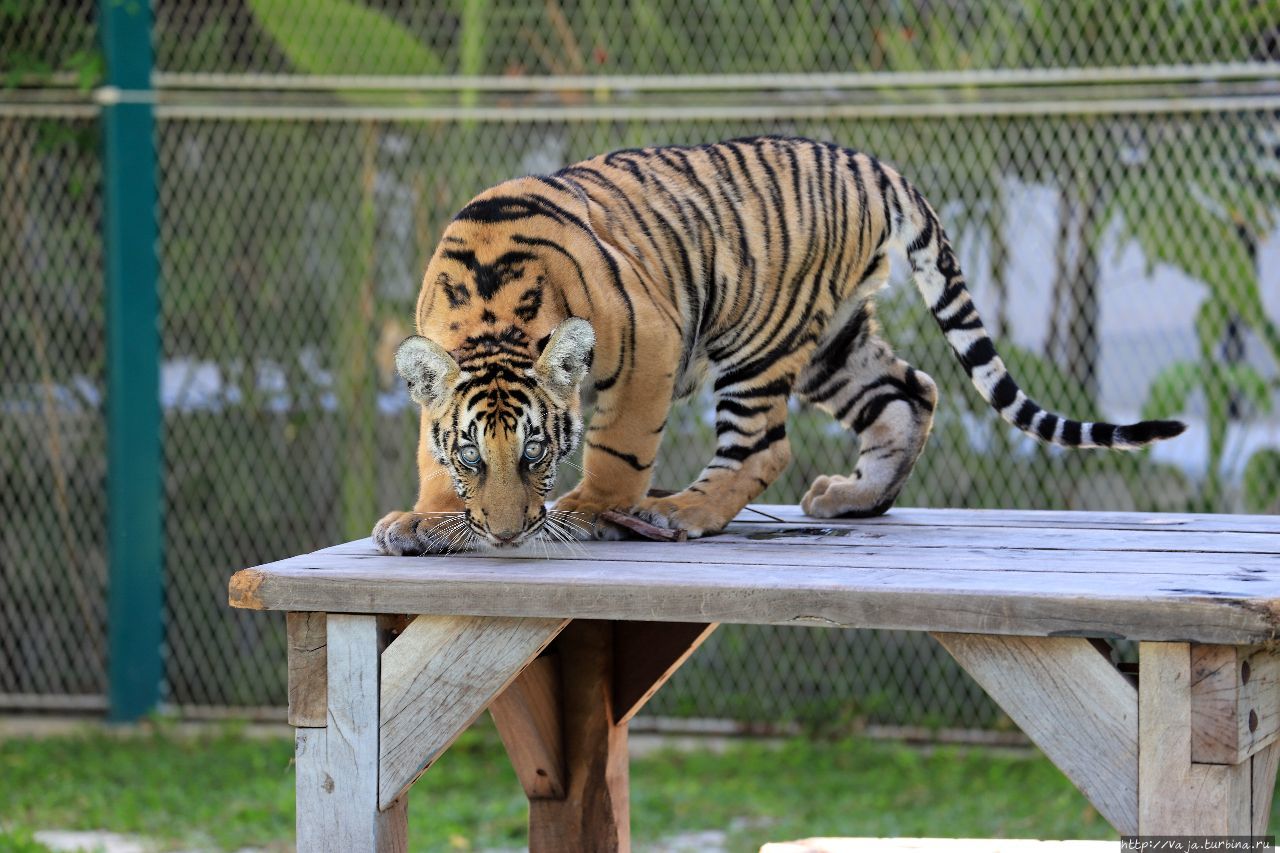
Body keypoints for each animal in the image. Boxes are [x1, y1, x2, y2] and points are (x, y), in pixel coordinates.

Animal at [373, 136, 1182, 555]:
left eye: (537, 452)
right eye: (475, 456)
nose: (507, 536)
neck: (488, 311)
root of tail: (869, 162)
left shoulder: (652, 343)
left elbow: (619, 447)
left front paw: (592, 507)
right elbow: (430, 451)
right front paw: (428, 517)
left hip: (759, 338)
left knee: (765, 447)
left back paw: (680, 512)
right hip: (834, 341)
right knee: (909, 392)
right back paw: (853, 499)